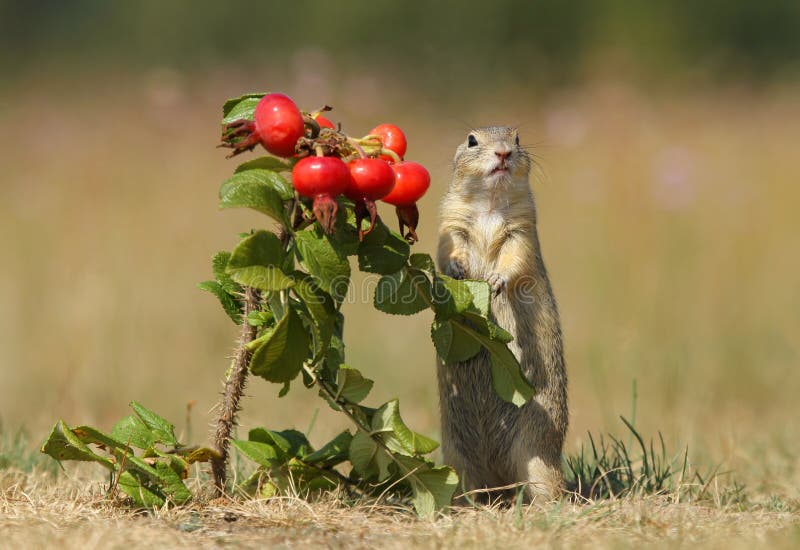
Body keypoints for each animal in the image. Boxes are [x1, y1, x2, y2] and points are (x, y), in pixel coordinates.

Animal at [436, 126, 568, 501]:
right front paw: (458, 268)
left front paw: (495, 280)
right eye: (471, 140)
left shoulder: (522, 230)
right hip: (456, 459)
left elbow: (515, 257)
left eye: (517, 138)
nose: (503, 153)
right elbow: (448, 247)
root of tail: (499, 482)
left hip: (536, 453)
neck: (490, 203)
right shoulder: (451, 222)